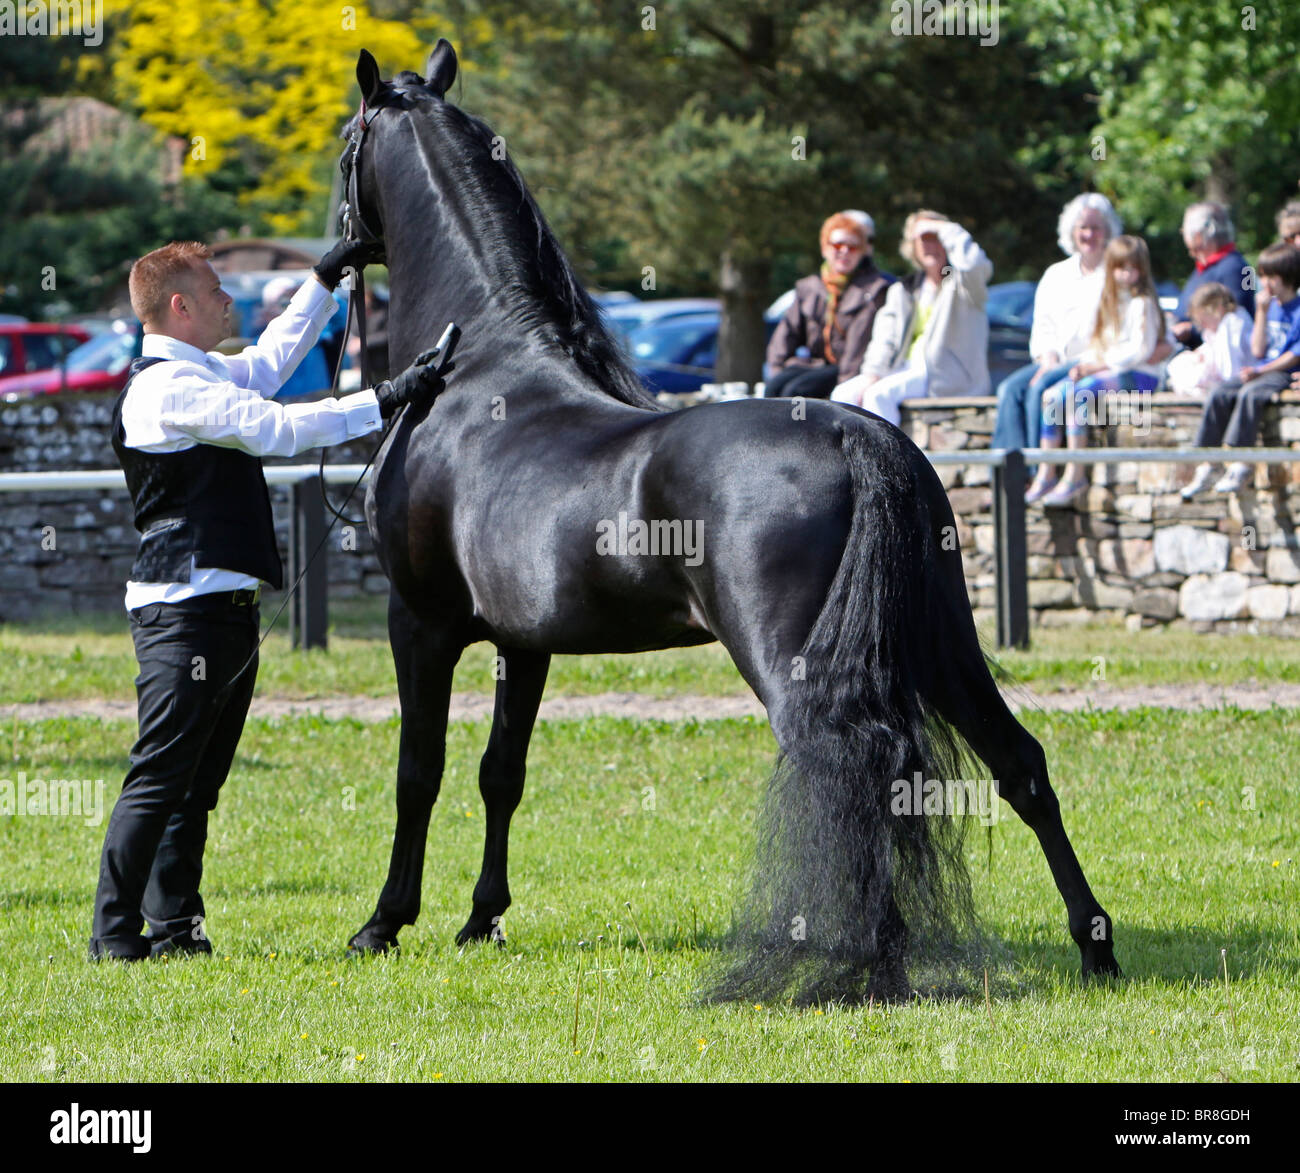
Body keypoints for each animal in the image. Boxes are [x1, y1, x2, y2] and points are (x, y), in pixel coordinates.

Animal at [340, 39, 1120, 1004]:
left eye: (347, 144)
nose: (331, 256)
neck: (476, 377)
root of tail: (857, 431)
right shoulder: (524, 643)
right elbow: (501, 774)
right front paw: (482, 918)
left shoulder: (421, 622)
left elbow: (419, 772)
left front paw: (383, 922)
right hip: (943, 641)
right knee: (1019, 763)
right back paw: (1091, 944)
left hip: (798, 660)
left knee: (853, 765)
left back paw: (862, 961)